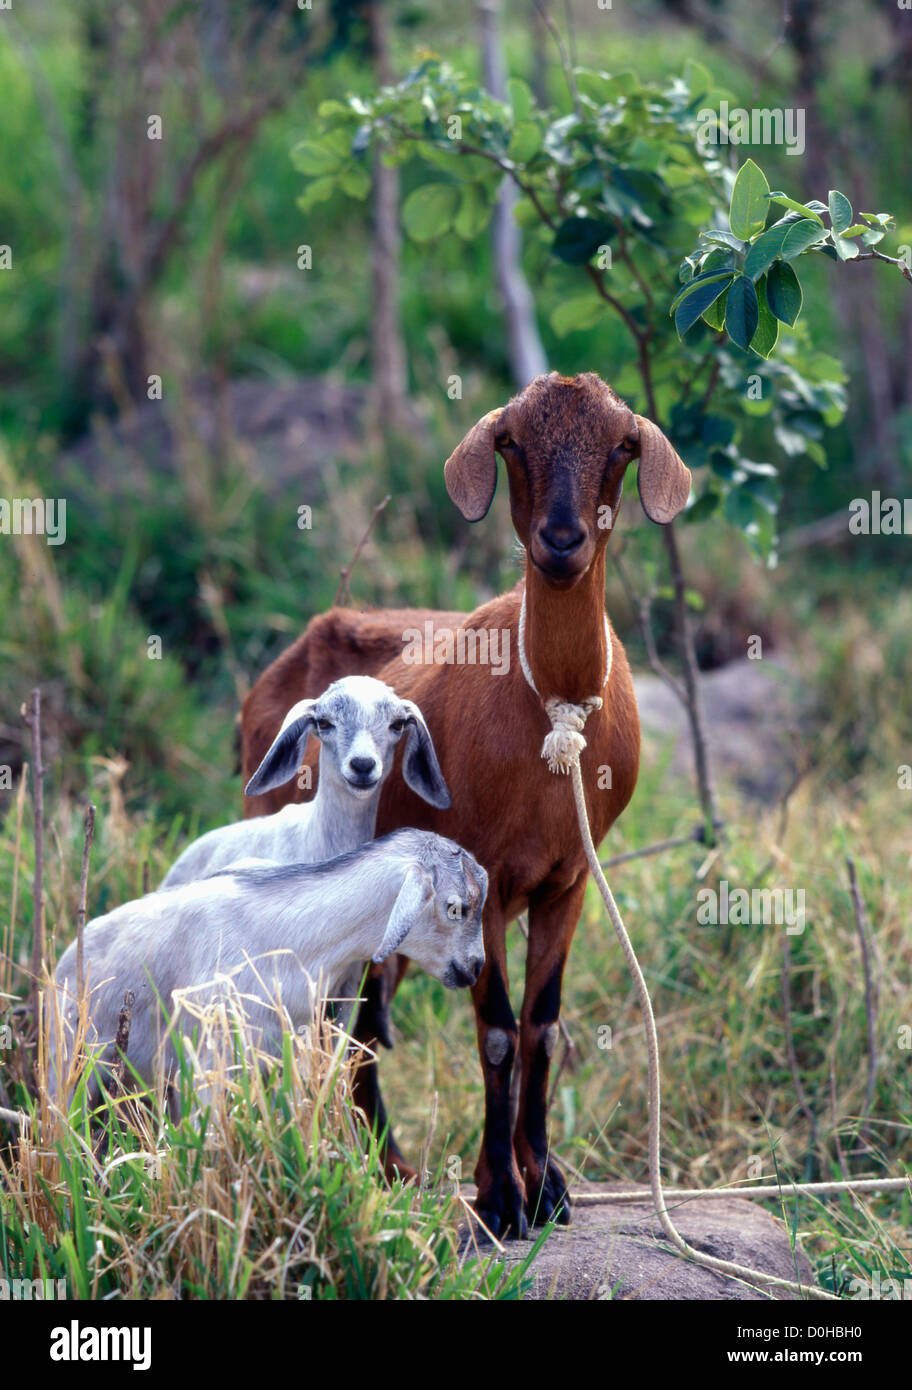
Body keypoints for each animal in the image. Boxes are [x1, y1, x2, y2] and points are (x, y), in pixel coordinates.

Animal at [240, 372, 691, 1238]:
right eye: (511, 439)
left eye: (622, 443)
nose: (561, 540)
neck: (552, 715)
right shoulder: (483, 884)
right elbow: (497, 1034)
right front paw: (501, 1197)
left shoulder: (566, 883)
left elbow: (542, 1029)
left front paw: (547, 1185)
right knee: (320, 1014)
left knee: (361, 1027)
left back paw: (386, 1166)